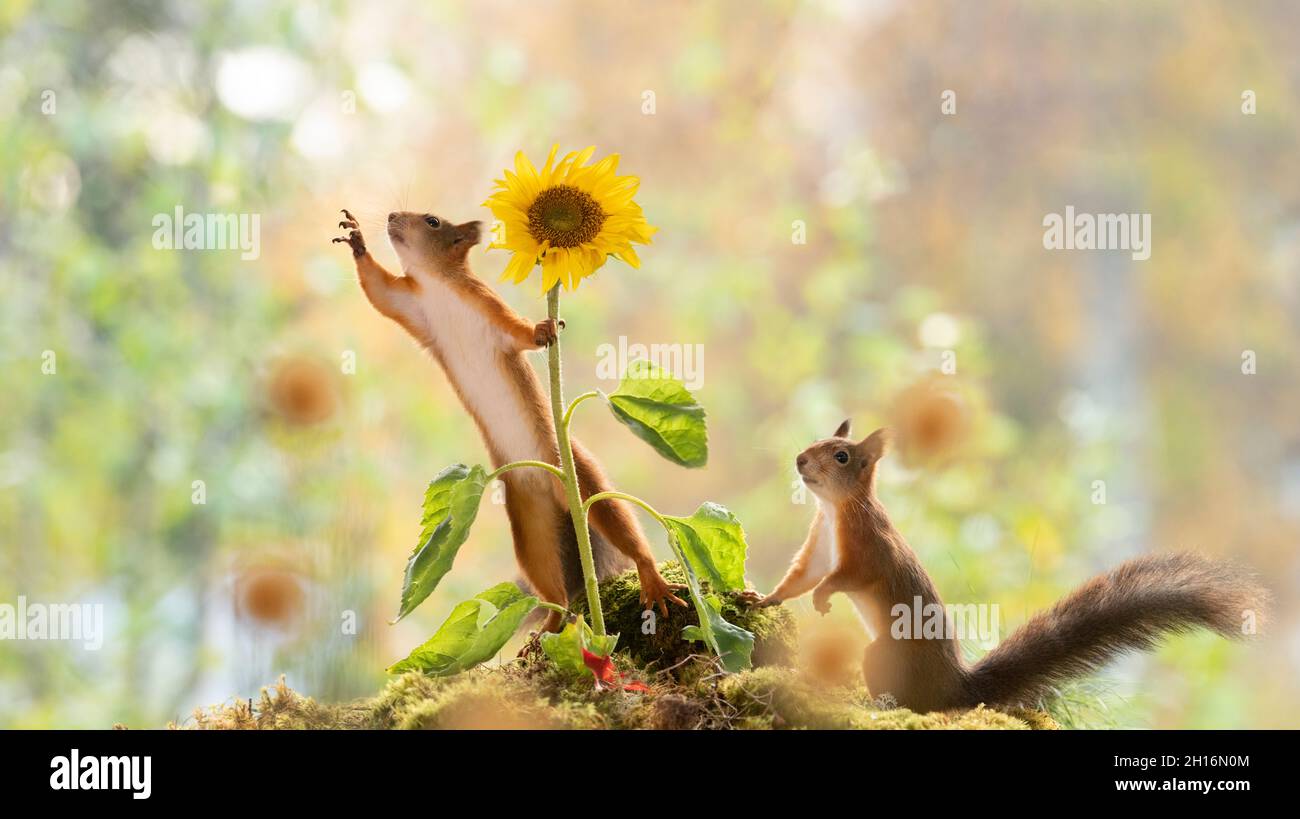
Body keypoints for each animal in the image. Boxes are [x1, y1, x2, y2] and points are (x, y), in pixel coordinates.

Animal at [333, 209, 686, 631]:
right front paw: (356, 239)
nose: (391, 216)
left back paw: (650, 577)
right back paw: (550, 626)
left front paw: (543, 329)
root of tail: (558, 492)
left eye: (433, 221)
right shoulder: (411, 305)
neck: (437, 285)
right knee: (551, 586)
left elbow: (518, 332)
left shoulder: (490, 309)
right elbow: (379, 292)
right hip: (529, 519)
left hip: (578, 474)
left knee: (615, 520)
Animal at [743, 419, 1266, 713]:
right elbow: (801, 576)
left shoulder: (869, 550)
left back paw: (883, 707)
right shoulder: (819, 547)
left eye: (841, 455)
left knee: (915, 705)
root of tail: (955, 689)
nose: (799, 460)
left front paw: (823, 599)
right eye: (814, 440)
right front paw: (763, 597)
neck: (835, 511)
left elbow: (846, 577)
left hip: (886, 658)